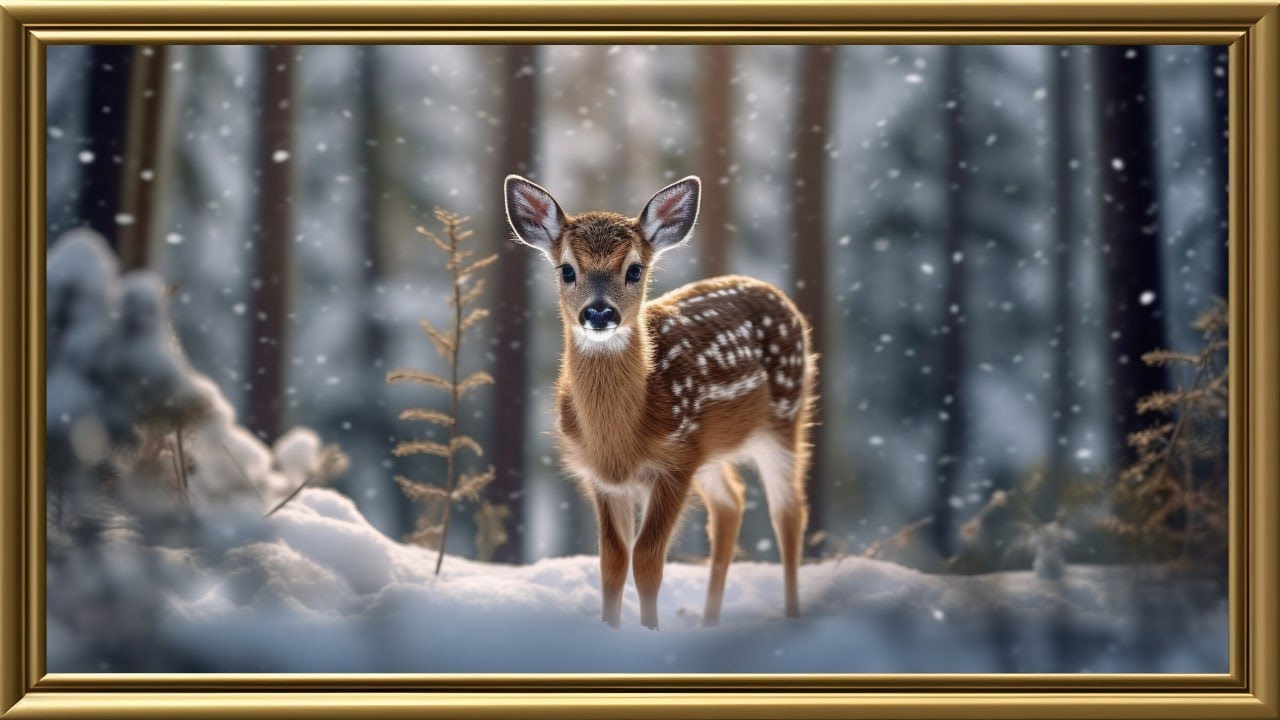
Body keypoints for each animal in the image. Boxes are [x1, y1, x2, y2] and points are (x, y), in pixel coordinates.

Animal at [505, 174, 817, 630]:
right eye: (567, 269)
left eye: (634, 269)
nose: (599, 313)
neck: (621, 440)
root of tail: (776, 293)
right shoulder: (604, 477)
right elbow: (613, 562)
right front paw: (611, 630)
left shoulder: (674, 463)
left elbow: (648, 561)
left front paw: (650, 630)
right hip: (711, 451)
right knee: (731, 504)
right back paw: (708, 622)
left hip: (783, 421)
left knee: (789, 513)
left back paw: (792, 617)